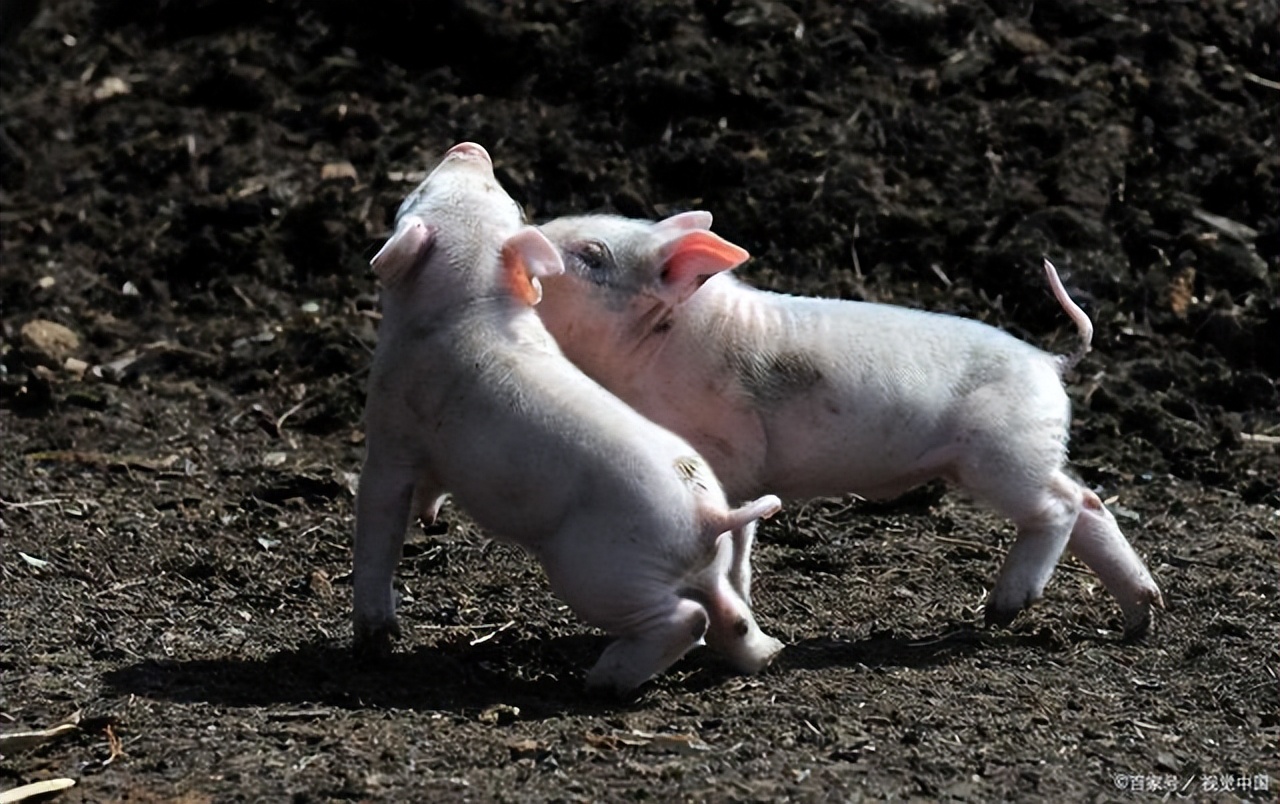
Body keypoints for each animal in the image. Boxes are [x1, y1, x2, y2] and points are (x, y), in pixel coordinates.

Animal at [352, 145, 784, 695]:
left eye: (416, 195)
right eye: (513, 203)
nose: (470, 148)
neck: (468, 297)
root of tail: (710, 515)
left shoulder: (392, 431)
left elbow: (380, 519)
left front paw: (373, 642)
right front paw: (430, 520)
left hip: (598, 572)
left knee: (686, 621)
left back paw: (599, 681)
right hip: (699, 568)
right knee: (731, 617)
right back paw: (768, 653)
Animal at [534, 211, 1165, 638]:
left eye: (591, 254)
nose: (530, 230)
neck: (659, 345)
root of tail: (1049, 361)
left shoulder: (731, 452)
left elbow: (733, 532)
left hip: (1001, 456)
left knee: (1061, 507)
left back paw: (1002, 610)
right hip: (1025, 454)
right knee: (1090, 502)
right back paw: (1140, 616)